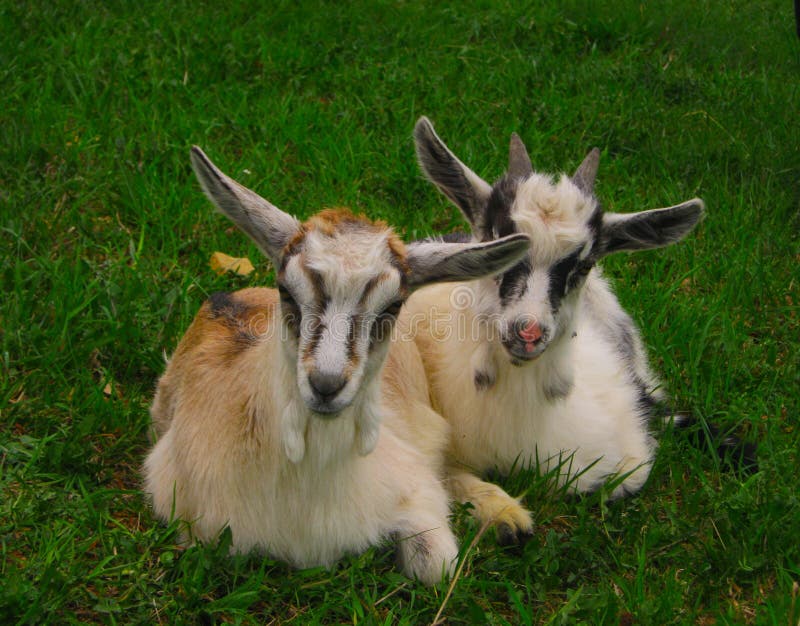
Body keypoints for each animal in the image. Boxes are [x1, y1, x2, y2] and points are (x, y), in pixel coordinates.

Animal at [143, 146, 531, 583]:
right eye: (287, 290)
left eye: (393, 305)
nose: (326, 384)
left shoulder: (414, 489)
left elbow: (438, 567)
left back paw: (505, 516)